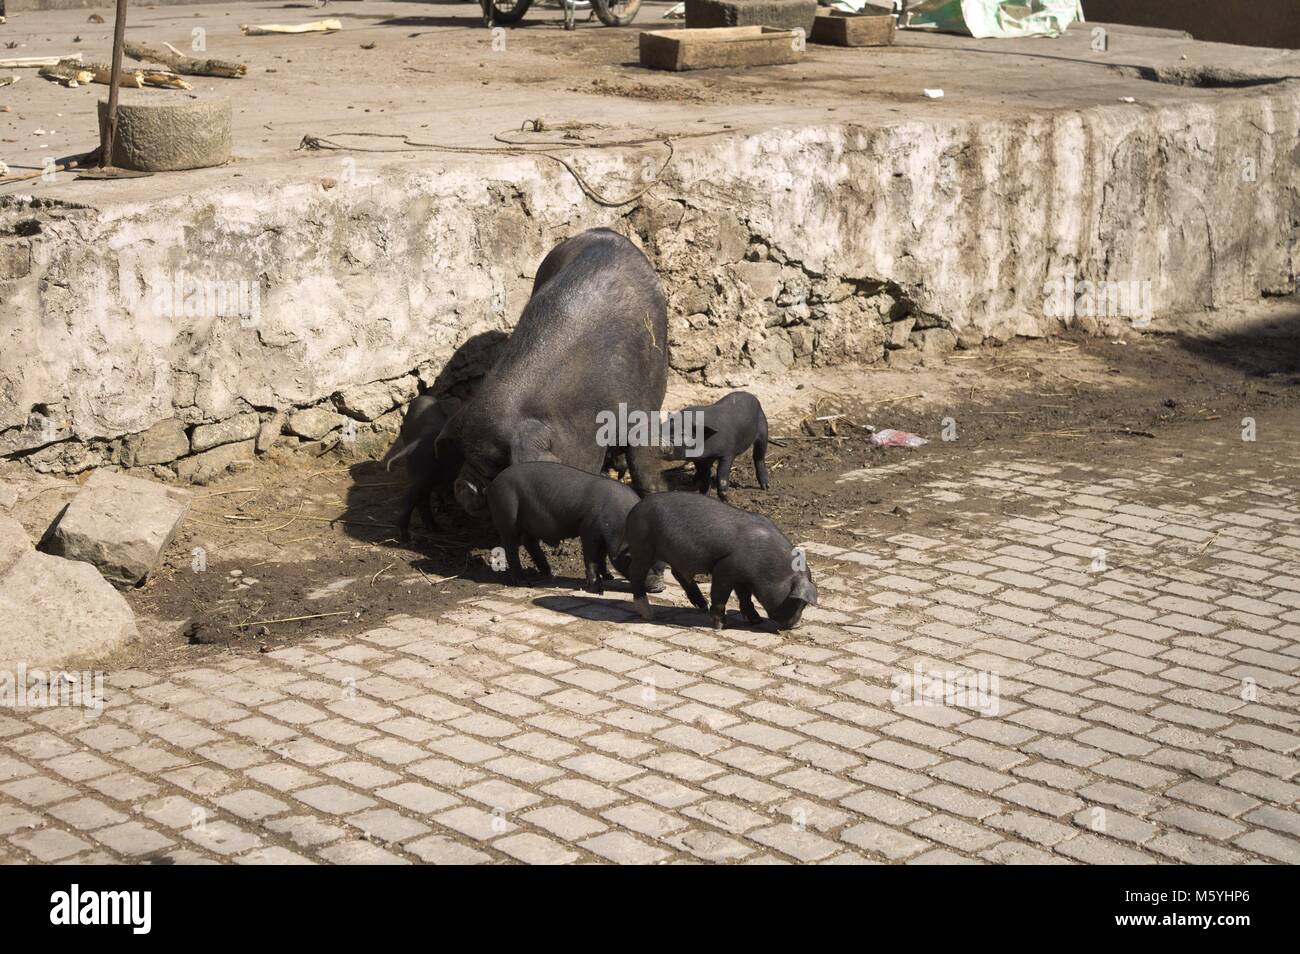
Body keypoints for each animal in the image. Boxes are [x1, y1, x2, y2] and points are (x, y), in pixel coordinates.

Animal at [434, 228, 668, 516]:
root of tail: (605, 232)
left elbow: (644, 460)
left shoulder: (641, 402)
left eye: (501, 466)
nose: (465, 487)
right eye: (467, 455)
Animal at [486, 461, 663, 594]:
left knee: (530, 542)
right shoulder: (589, 530)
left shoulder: (603, 537)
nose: (660, 587)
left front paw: (609, 577)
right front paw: (597, 588)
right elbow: (591, 558)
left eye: (662, 566)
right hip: (506, 514)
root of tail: (494, 483)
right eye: (639, 562)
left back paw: (550, 573)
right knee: (510, 545)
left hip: (529, 524)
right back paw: (524, 581)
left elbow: (602, 557)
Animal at [621, 492, 817, 631]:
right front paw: (722, 626)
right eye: (799, 602)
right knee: (635, 574)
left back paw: (702, 606)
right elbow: (721, 595)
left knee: (678, 573)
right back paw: (649, 614)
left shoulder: (742, 577)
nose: (796, 625)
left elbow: (745, 596)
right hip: (643, 547)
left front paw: (756, 620)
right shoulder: (725, 568)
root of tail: (633, 510)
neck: (769, 567)